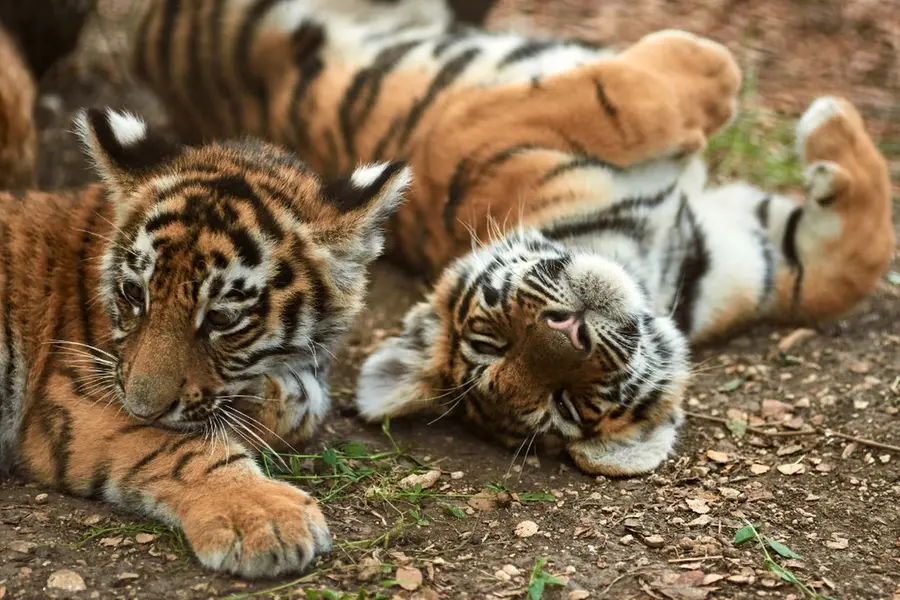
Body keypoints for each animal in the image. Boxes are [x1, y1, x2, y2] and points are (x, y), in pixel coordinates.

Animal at [0, 105, 412, 576]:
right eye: (134, 293)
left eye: (221, 317)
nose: (142, 408)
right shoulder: (77, 396)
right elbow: (176, 449)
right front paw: (265, 518)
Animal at [131, 0, 894, 476]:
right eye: (497, 348)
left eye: (572, 401)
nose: (572, 329)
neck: (646, 260)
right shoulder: (478, 125)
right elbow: (623, 100)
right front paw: (715, 66)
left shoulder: (736, 250)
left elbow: (850, 265)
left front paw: (830, 131)